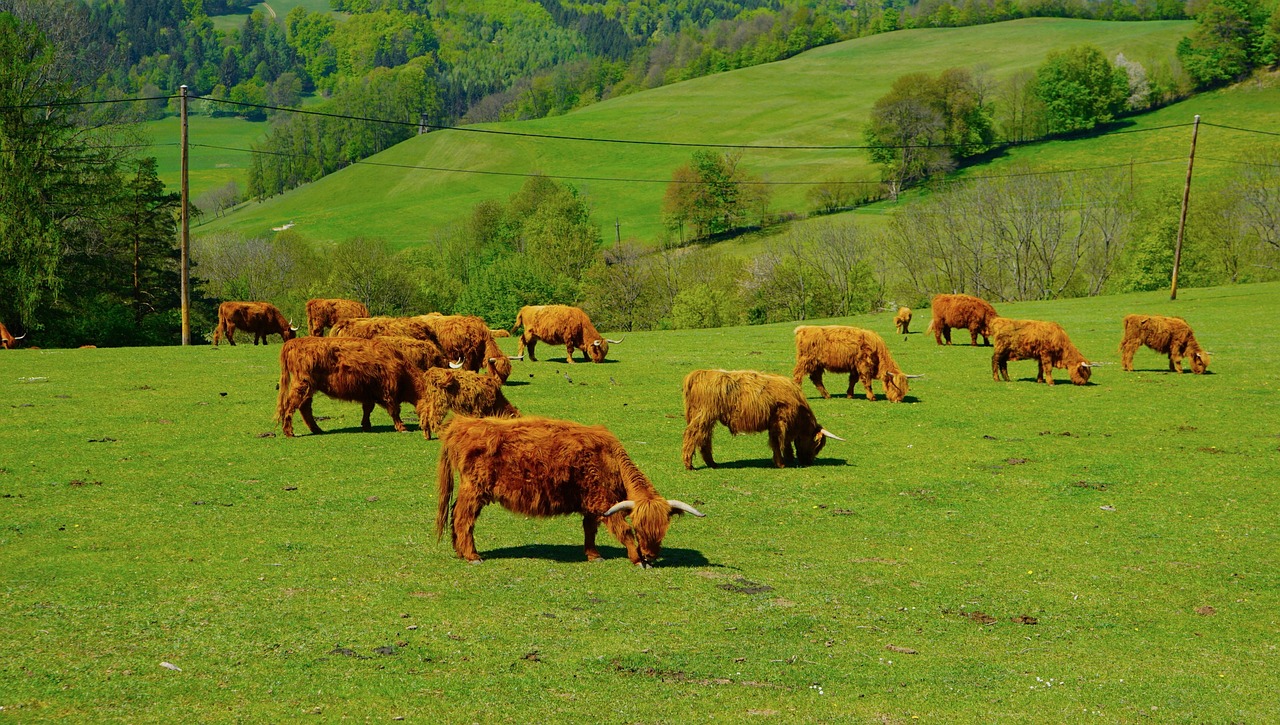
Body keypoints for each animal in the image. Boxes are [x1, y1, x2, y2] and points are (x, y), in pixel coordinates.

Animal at [275, 337, 427, 437]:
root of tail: (293, 342)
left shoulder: (369, 393)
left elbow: (368, 409)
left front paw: (366, 425)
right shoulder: (388, 391)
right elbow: (394, 410)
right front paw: (402, 427)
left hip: (308, 386)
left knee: (304, 406)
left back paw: (317, 429)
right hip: (302, 383)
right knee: (290, 405)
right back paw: (289, 432)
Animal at [435, 415, 704, 567]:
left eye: (664, 529)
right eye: (639, 526)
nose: (651, 556)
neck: (611, 459)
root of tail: (461, 425)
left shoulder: (593, 502)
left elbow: (590, 530)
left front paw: (594, 555)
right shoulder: (602, 500)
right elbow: (622, 529)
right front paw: (636, 560)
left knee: (456, 515)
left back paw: (460, 551)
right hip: (475, 488)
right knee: (463, 518)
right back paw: (473, 556)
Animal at [682, 369, 844, 470]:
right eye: (816, 444)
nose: (808, 462)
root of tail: (700, 373)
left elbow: (785, 442)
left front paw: (789, 458)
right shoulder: (779, 421)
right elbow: (777, 442)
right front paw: (781, 463)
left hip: (706, 419)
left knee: (704, 439)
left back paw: (712, 463)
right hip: (703, 416)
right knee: (692, 436)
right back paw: (689, 464)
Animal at [793, 325, 922, 402]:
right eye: (894, 386)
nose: (898, 400)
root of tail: (804, 329)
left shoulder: (854, 367)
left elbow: (853, 381)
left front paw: (850, 395)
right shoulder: (864, 365)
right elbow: (867, 382)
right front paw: (872, 397)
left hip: (817, 364)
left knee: (816, 379)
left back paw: (827, 395)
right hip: (805, 361)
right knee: (798, 376)